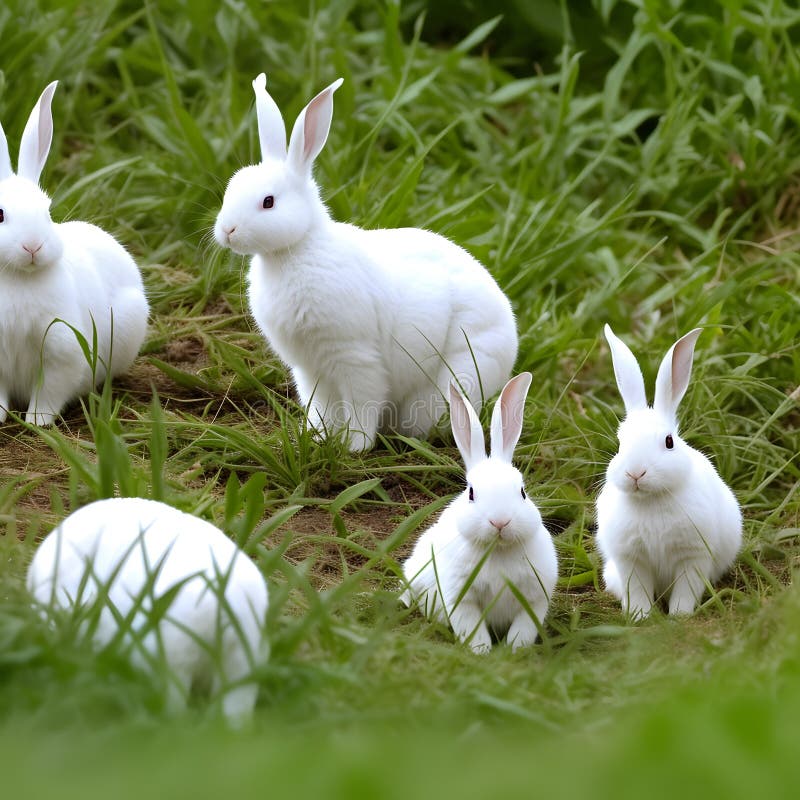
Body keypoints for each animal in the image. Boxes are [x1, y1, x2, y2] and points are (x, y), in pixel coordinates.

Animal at [0, 81, 149, 425]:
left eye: (47, 211)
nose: (32, 246)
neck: (16, 277)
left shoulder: (62, 348)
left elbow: (50, 391)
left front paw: (37, 422)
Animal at [214, 74, 518, 452]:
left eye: (268, 202)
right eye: (231, 188)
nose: (227, 231)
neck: (298, 249)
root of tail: (511, 340)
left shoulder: (355, 358)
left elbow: (362, 403)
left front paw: (354, 447)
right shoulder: (310, 370)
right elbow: (321, 407)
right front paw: (317, 438)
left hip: (453, 376)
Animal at [401, 372, 558, 653]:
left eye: (522, 492)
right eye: (472, 493)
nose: (500, 522)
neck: (498, 550)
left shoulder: (535, 598)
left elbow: (524, 629)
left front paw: (514, 650)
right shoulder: (461, 600)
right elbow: (472, 628)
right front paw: (482, 652)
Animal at [595, 324, 743, 620]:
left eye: (669, 442)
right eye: (620, 443)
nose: (635, 473)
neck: (650, 499)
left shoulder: (693, 555)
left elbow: (686, 589)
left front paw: (679, 616)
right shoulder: (630, 559)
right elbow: (637, 590)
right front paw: (640, 617)